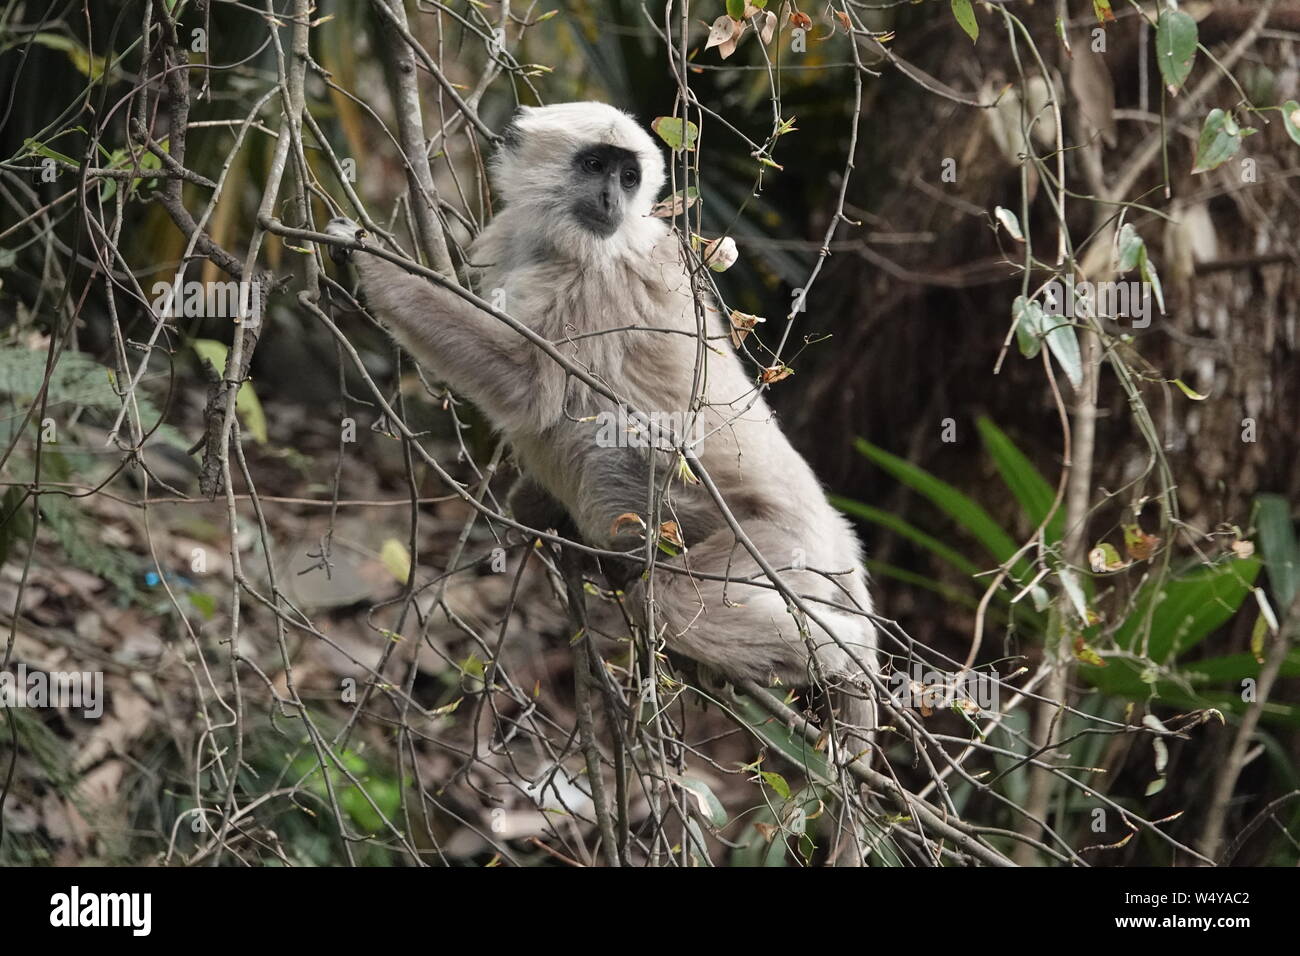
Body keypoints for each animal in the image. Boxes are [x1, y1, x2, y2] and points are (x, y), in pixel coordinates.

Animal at [326, 101, 877, 741]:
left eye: (628, 177)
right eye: (595, 167)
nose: (613, 198)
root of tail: (835, 535)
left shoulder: (601, 278)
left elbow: (531, 390)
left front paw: (367, 260)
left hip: (775, 544)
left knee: (669, 596)